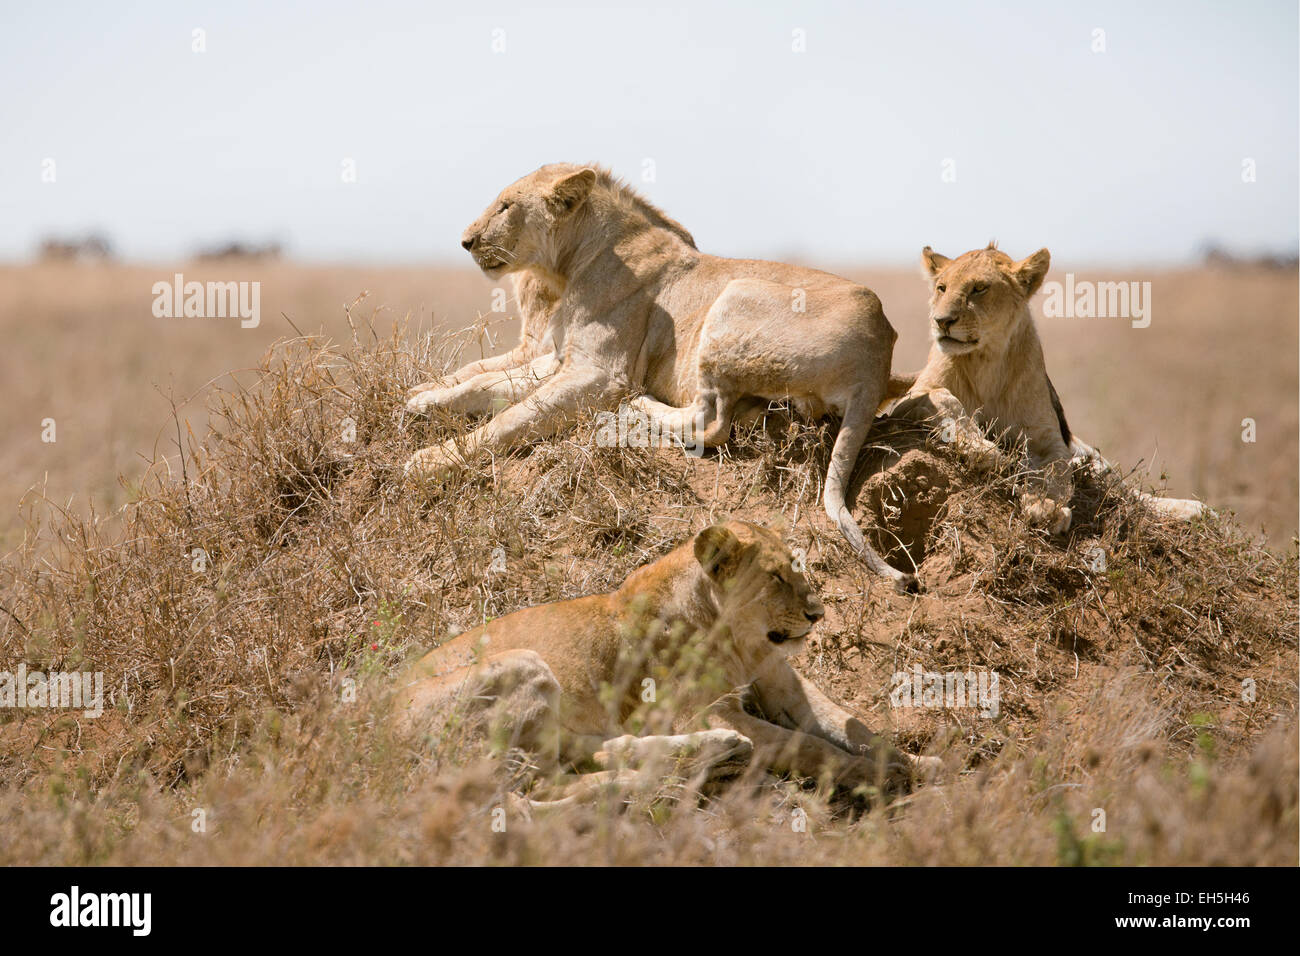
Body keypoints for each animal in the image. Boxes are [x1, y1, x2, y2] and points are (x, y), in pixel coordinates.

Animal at [393, 521, 932, 807]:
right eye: (777, 577)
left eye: (799, 571)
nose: (817, 614)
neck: (739, 639)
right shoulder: (706, 710)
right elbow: (808, 746)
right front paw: (877, 777)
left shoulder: (783, 686)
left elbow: (850, 724)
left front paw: (918, 762)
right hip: (522, 664)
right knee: (538, 788)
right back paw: (660, 777)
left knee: (589, 756)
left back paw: (704, 754)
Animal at [404, 164, 914, 591]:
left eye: (506, 206)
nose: (466, 241)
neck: (573, 259)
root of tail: (879, 352)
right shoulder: (562, 360)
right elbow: (481, 384)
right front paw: (421, 400)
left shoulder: (599, 373)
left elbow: (512, 418)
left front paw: (429, 460)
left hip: (733, 296)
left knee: (710, 422)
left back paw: (630, 411)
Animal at [881, 243, 1208, 533]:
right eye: (942, 288)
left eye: (979, 288)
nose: (941, 321)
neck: (986, 360)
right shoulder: (910, 400)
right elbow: (944, 399)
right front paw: (983, 449)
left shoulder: (1048, 437)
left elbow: (1055, 472)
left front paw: (1047, 507)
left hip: (1094, 457)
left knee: (1130, 492)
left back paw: (1194, 509)